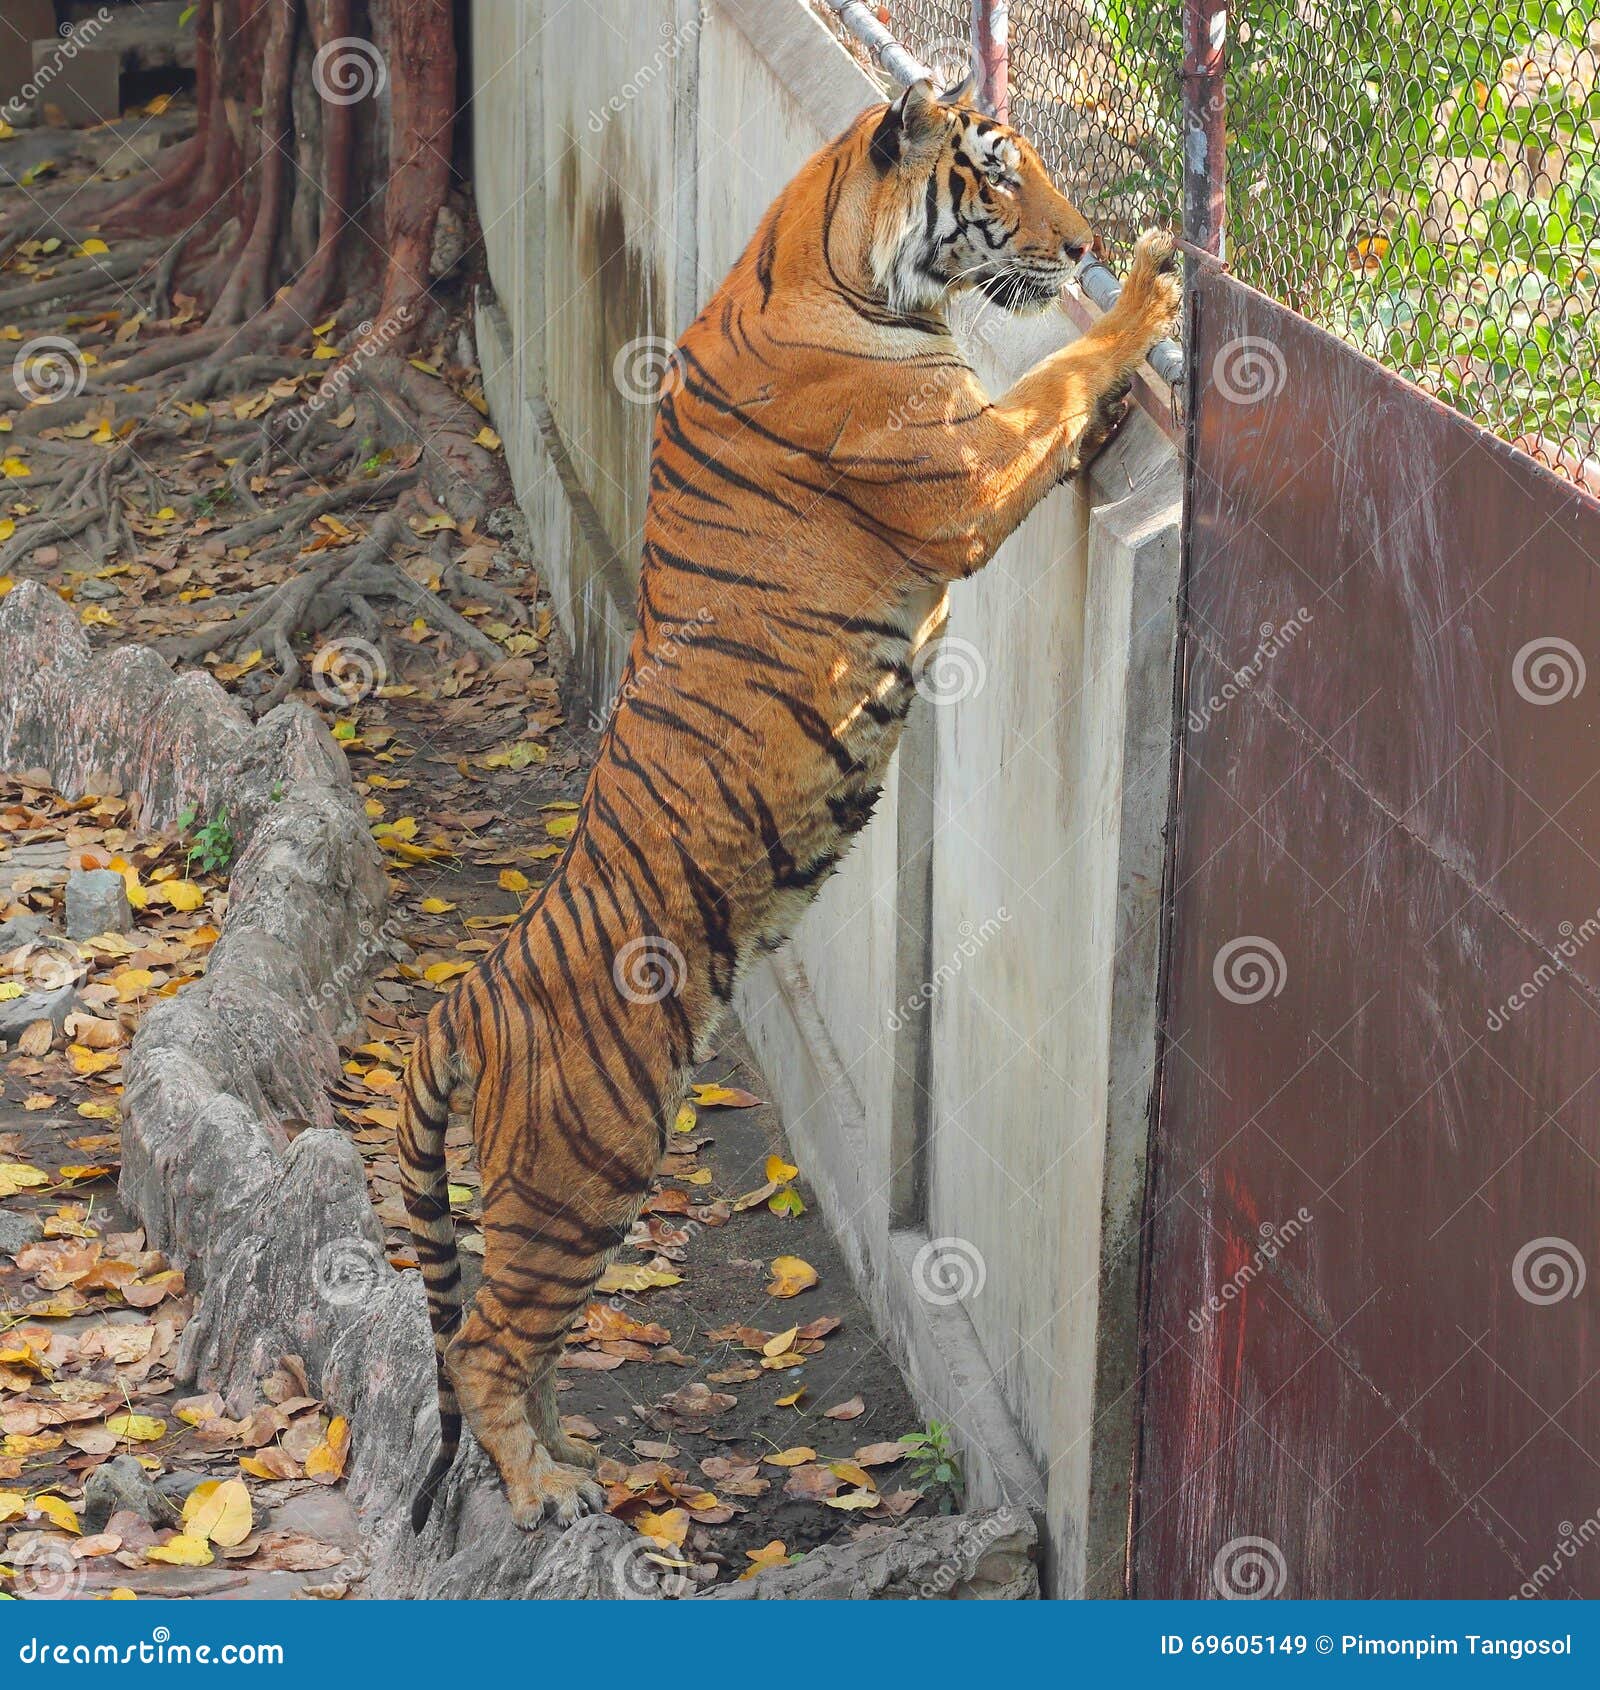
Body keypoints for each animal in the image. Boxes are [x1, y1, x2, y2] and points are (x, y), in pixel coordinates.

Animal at [399, 72, 1181, 1531]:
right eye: (1001, 175)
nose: (1086, 236)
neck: (831, 251)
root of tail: (468, 992)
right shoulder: (964, 467)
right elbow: (1056, 378)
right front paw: (1152, 291)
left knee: (517, 1345)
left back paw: (587, 1474)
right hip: (579, 1168)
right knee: (481, 1341)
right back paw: (547, 1490)